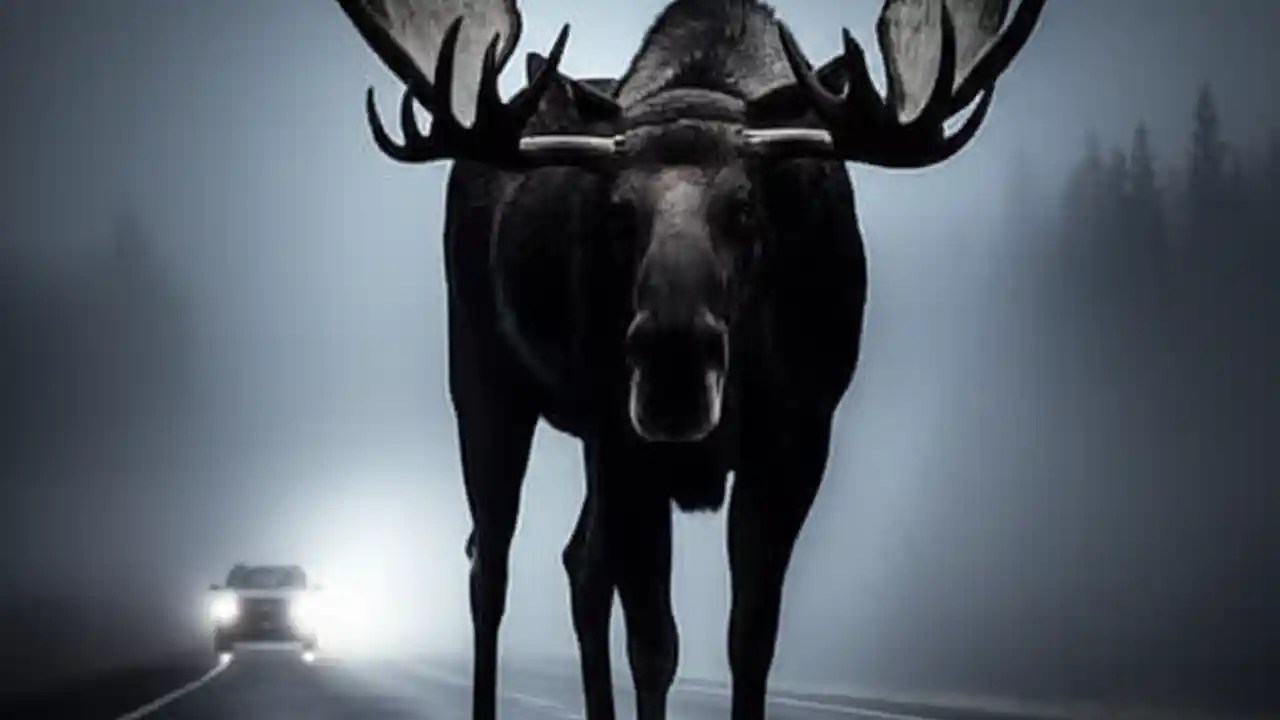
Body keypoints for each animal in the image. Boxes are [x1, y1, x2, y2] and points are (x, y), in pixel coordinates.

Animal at [332, 1, 1045, 718]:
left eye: (746, 207)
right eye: (618, 210)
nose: (672, 367)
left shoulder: (797, 441)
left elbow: (751, 639)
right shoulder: (624, 445)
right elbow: (654, 647)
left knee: (581, 566)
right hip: (486, 379)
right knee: (491, 568)